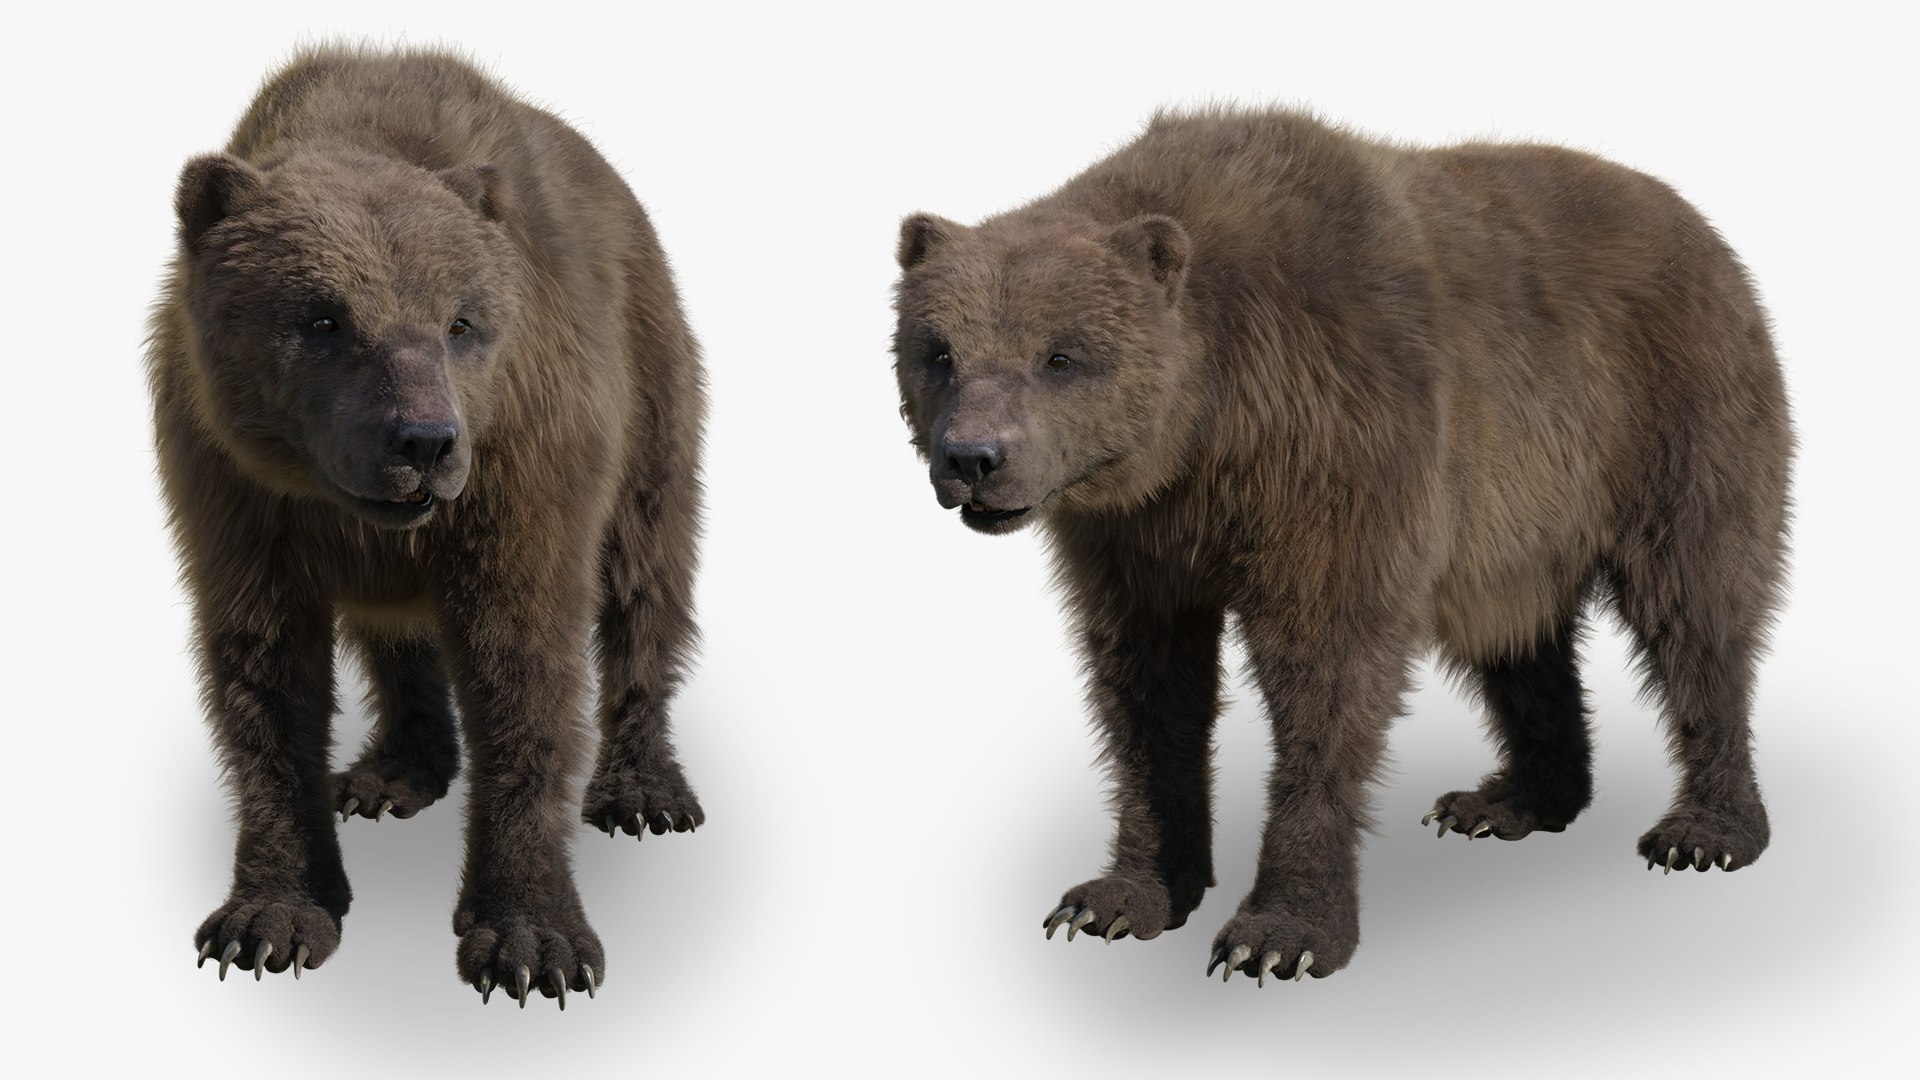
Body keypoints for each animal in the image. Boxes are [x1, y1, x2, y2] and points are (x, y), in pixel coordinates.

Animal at [149, 45, 707, 1006]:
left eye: (461, 321)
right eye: (323, 317)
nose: (424, 441)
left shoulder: (524, 457)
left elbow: (521, 665)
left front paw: (531, 942)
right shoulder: (235, 493)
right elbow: (264, 677)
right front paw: (271, 919)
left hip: (651, 380)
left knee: (647, 573)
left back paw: (643, 789)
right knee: (392, 630)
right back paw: (391, 772)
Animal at [890, 107, 1792, 984]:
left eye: (1061, 355)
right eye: (938, 352)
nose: (973, 459)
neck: (1202, 431)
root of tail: (1702, 227)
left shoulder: (1335, 439)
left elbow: (1326, 670)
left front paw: (1276, 937)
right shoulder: (1137, 537)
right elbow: (1145, 687)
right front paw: (1118, 897)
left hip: (1664, 418)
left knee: (1697, 607)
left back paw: (1705, 830)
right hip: (1518, 519)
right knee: (1517, 638)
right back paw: (1509, 801)